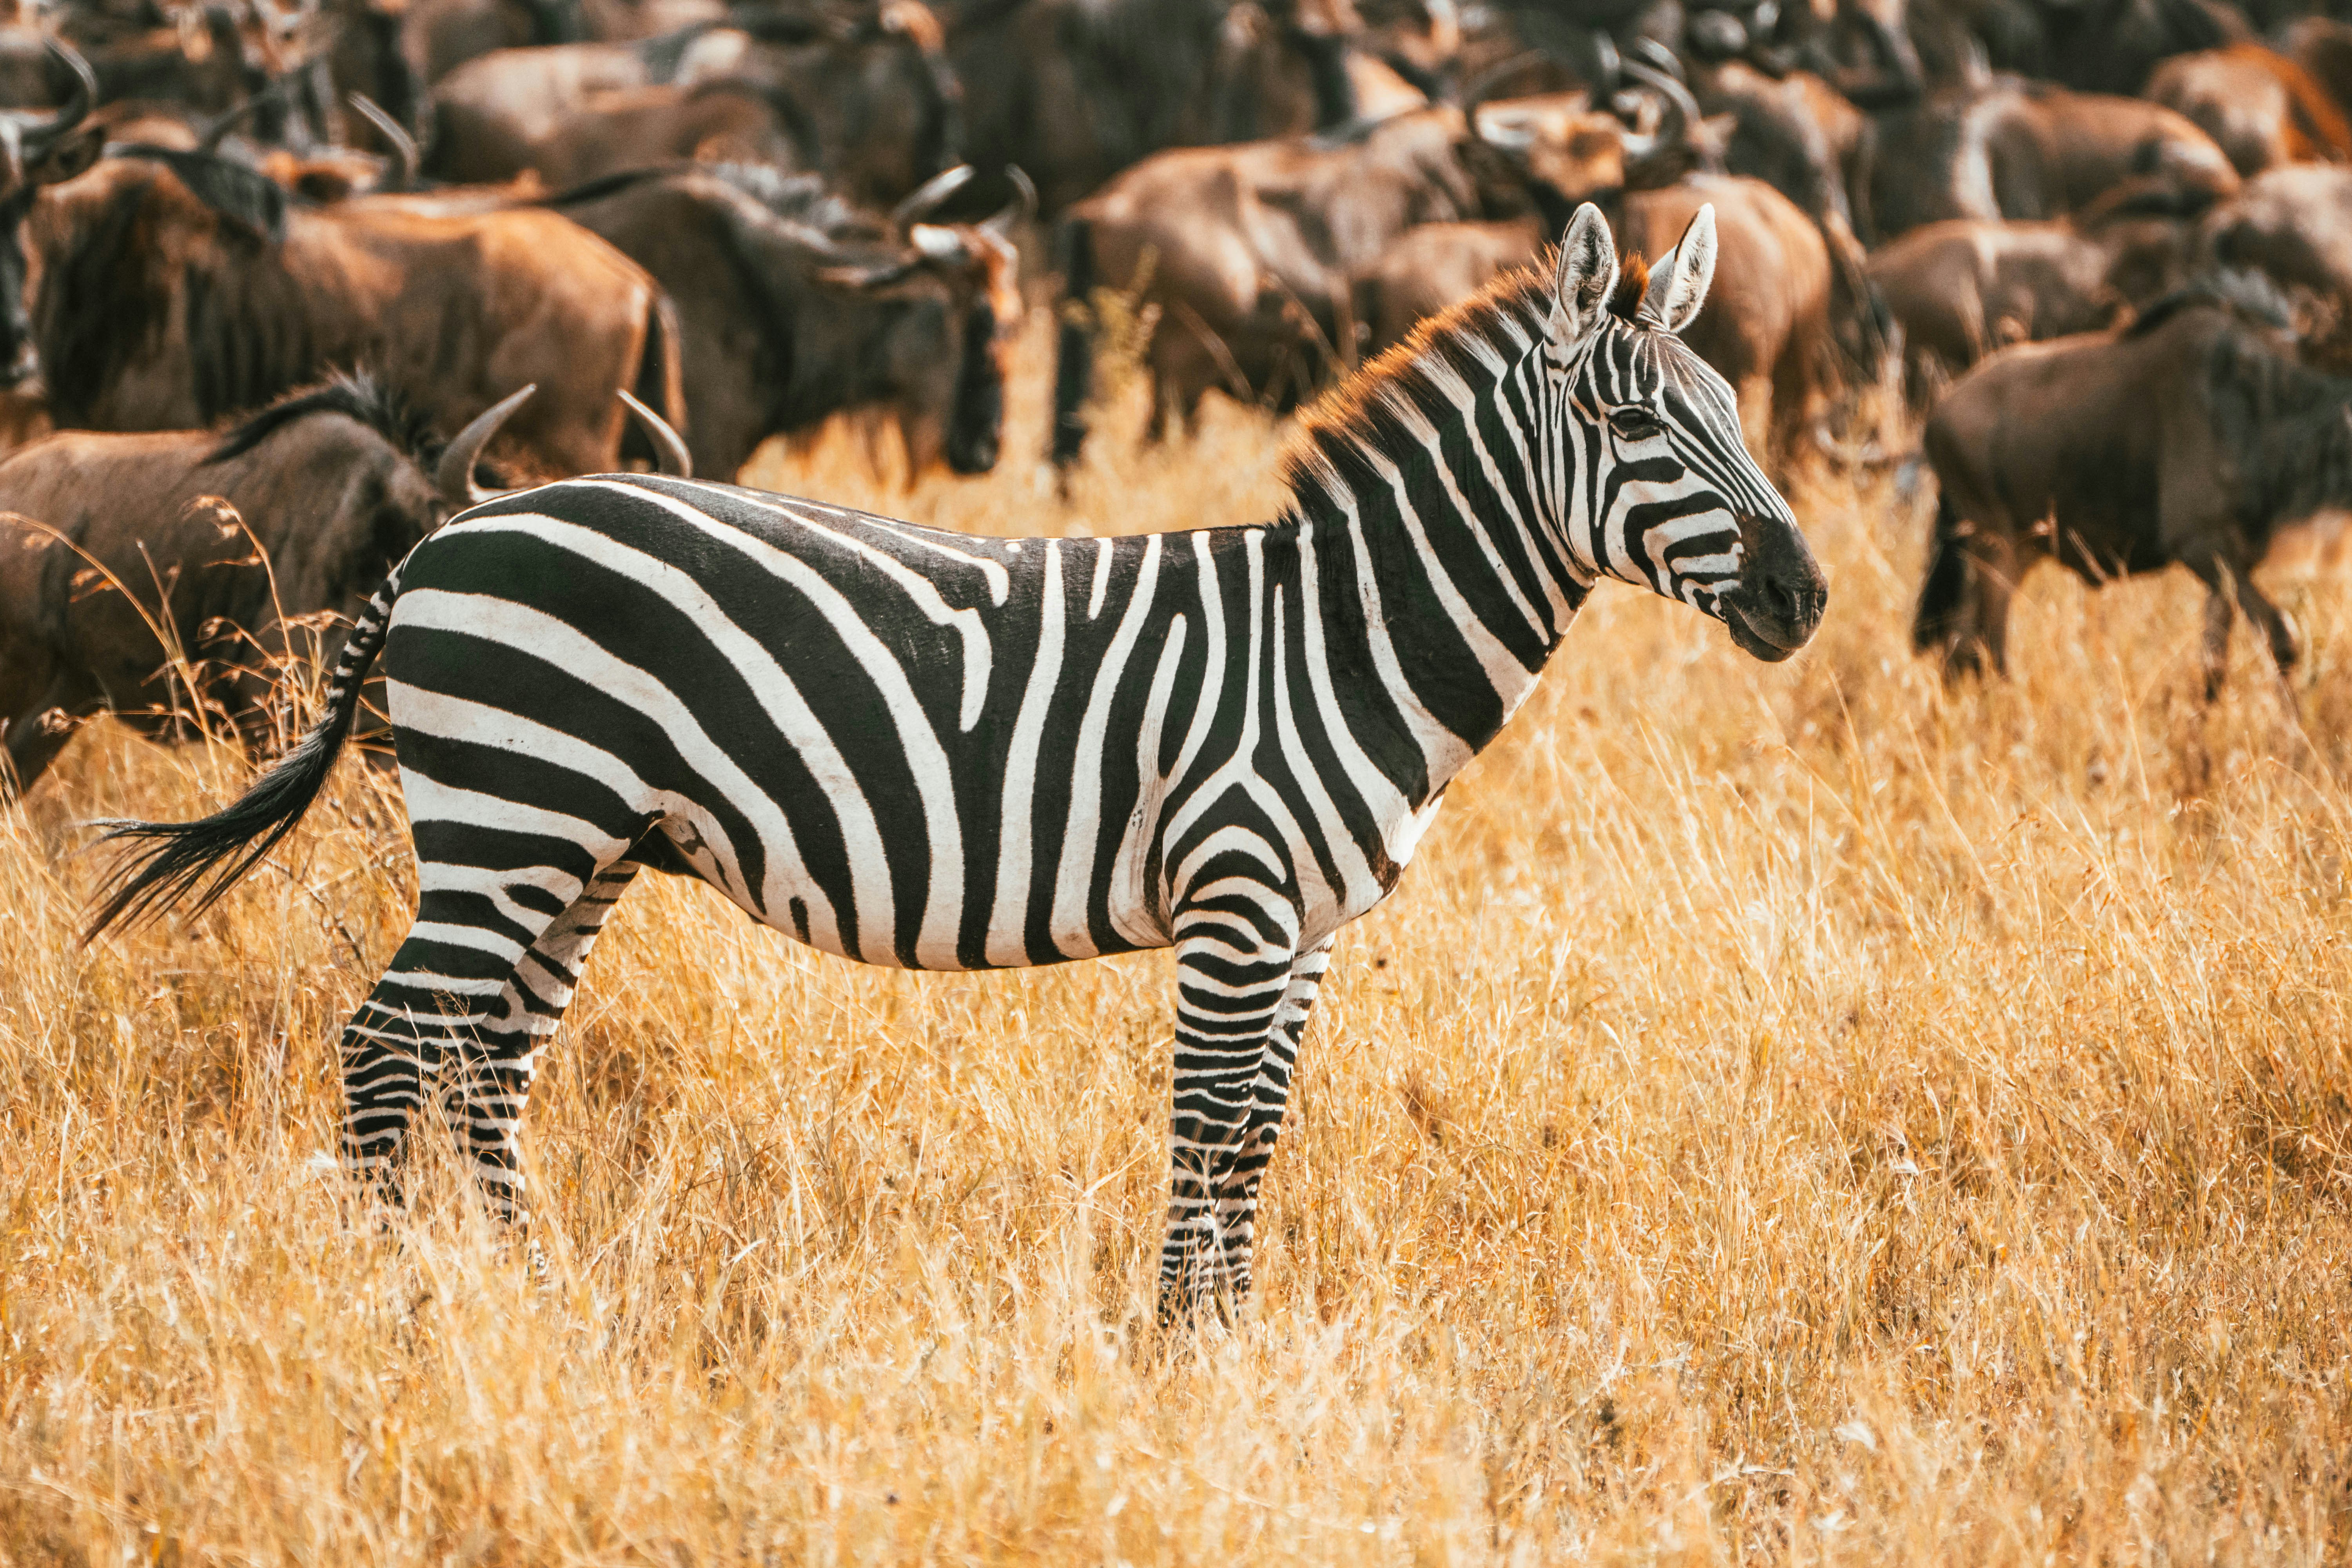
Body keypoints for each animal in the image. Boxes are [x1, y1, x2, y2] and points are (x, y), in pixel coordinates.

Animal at [86, 202, 1827, 1325]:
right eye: (1632, 423)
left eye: (1737, 412)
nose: (1805, 596)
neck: (1339, 638)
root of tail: (450, 531)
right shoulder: (1240, 904)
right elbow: (1209, 1128)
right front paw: (1181, 1351)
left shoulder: (1313, 930)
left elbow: (1258, 1136)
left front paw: (1234, 1341)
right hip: (512, 816)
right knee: (393, 1048)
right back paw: (396, 1299)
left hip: (573, 846)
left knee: (487, 1062)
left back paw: (529, 1297)